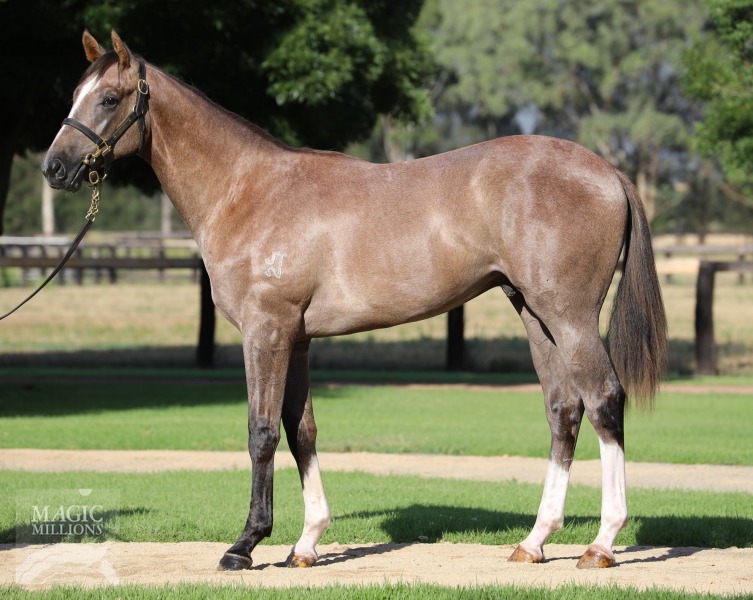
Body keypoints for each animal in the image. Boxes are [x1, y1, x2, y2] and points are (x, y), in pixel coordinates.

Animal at [42, 30, 667, 571]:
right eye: (74, 95)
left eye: (109, 98)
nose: (54, 168)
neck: (248, 190)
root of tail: (607, 171)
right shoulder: (296, 340)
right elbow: (302, 431)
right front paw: (306, 543)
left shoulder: (265, 332)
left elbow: (262, 431)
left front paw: (245, 545)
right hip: (536, 315)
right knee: (565, 409)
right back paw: (534, 542)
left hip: (571, 317)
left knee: (605, 399)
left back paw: (602, 543)